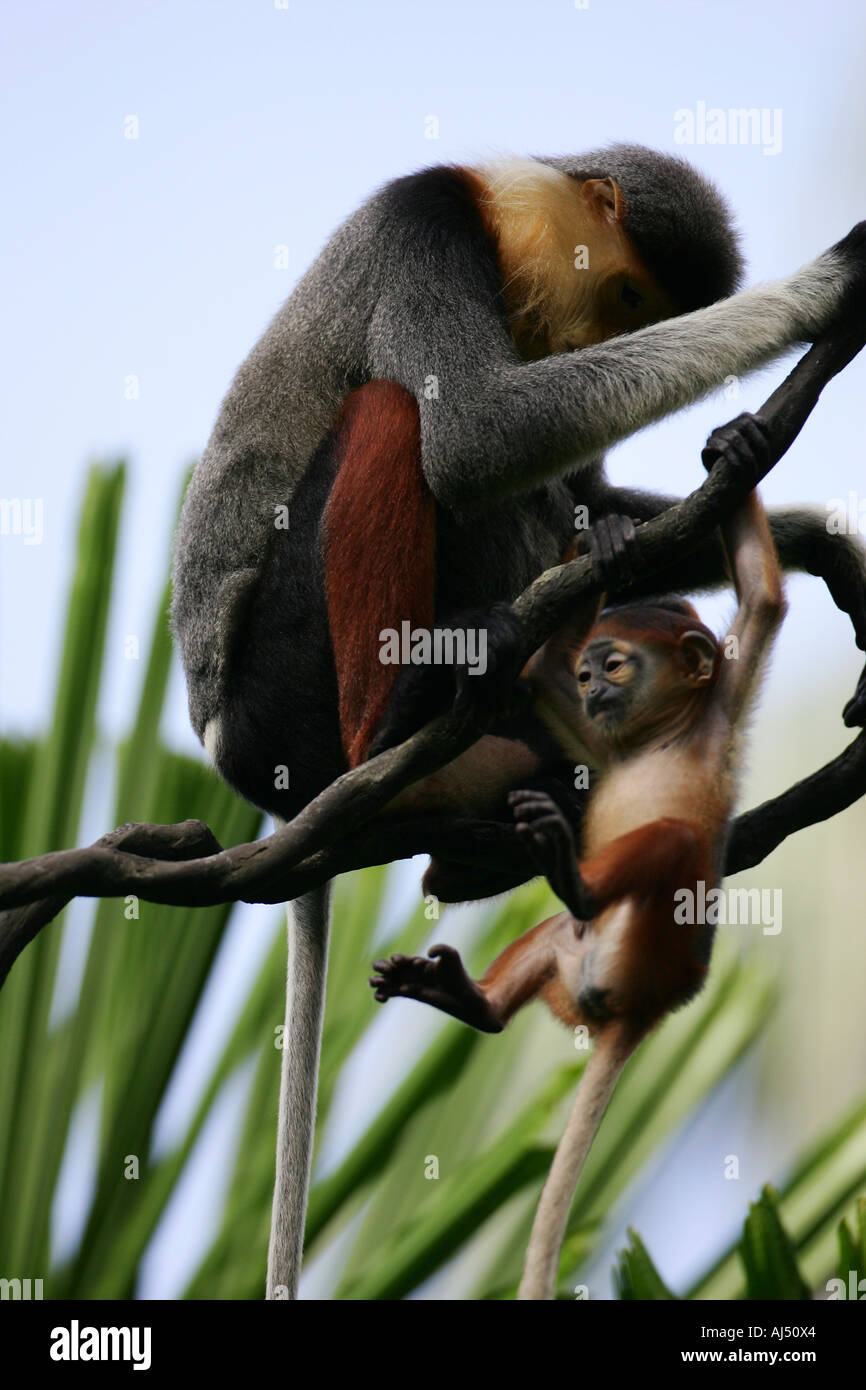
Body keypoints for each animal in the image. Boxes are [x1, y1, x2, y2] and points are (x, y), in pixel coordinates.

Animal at [370, 415, 786, 1299]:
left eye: (617, 665)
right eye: (590, 669)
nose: (596, 686)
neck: (653, 739)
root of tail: (647, 1007)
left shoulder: (717, 714)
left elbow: (763, 598)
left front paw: (735, 452)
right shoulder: (596, 735)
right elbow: (537, 677)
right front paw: (622, 525)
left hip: (657, 944)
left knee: (671, 846)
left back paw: (574, 877)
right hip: (579, 966)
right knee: (553, 937)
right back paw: (474, 1000)